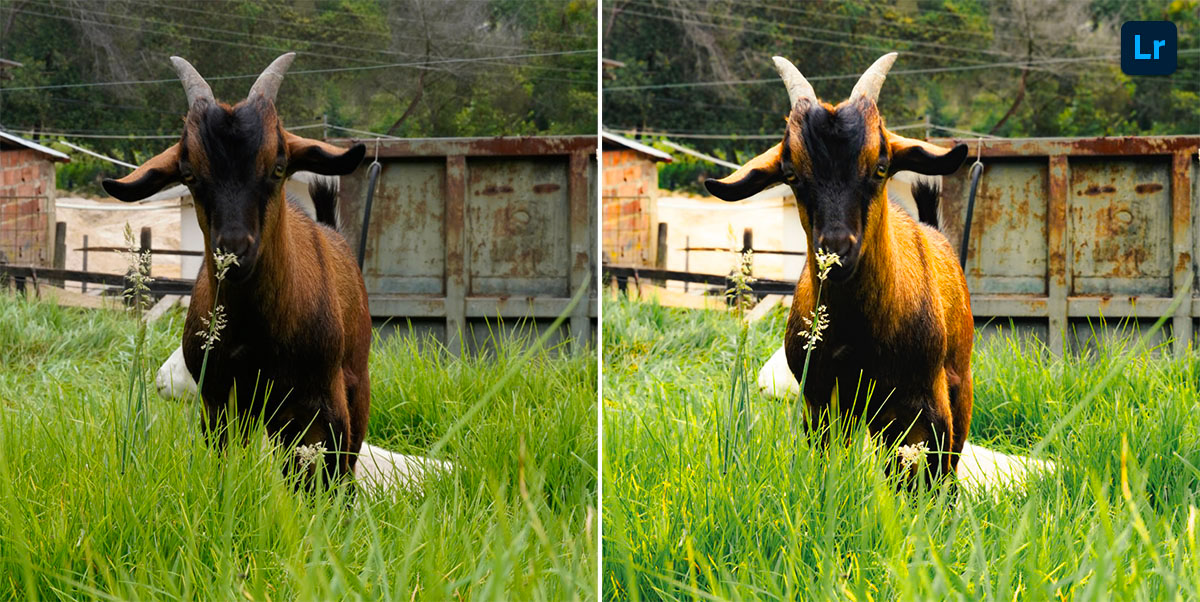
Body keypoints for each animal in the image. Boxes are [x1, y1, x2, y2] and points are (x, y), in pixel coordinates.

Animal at [102, 53, 370, 487]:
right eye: (189, 173)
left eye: (278, 166)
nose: (233, 251)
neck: (255, 331)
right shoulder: (220, 404)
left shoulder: (322, 408)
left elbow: (324, 482)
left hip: (354, 387)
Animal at [705, 53, 972, 481]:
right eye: (791, 174)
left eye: (881, 166)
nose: (836, 251)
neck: (857, 331)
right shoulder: (822, 405)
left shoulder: (926, 408)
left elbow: (929, 481)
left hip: (957, 388)